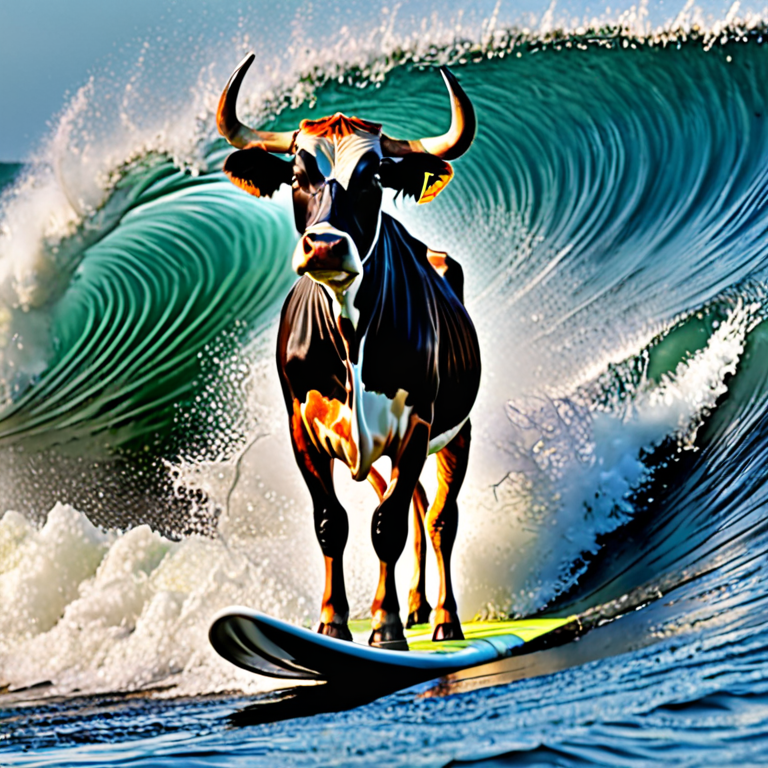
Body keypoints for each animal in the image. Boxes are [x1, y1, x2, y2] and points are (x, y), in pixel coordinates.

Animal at [217, 53, 481, 649]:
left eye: (375, 176)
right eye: (296, 174)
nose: (325, 245)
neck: (349, 331)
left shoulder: (419, 425)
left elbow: (387, 528)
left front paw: (384, 627)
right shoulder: (301, 427)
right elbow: (330, 522)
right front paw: (334, 621)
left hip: (458, 432)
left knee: (439, 519)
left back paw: (442, 617)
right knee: (417, 507)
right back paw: (415, 605)